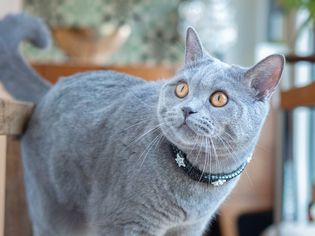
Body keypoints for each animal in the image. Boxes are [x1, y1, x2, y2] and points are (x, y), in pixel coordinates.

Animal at [0, 13, 286, 236]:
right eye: (182, 89)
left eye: (219, 98)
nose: (187, 108)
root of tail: (52, 86)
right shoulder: (126, 222)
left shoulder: (190, 227)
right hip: (53, 211)